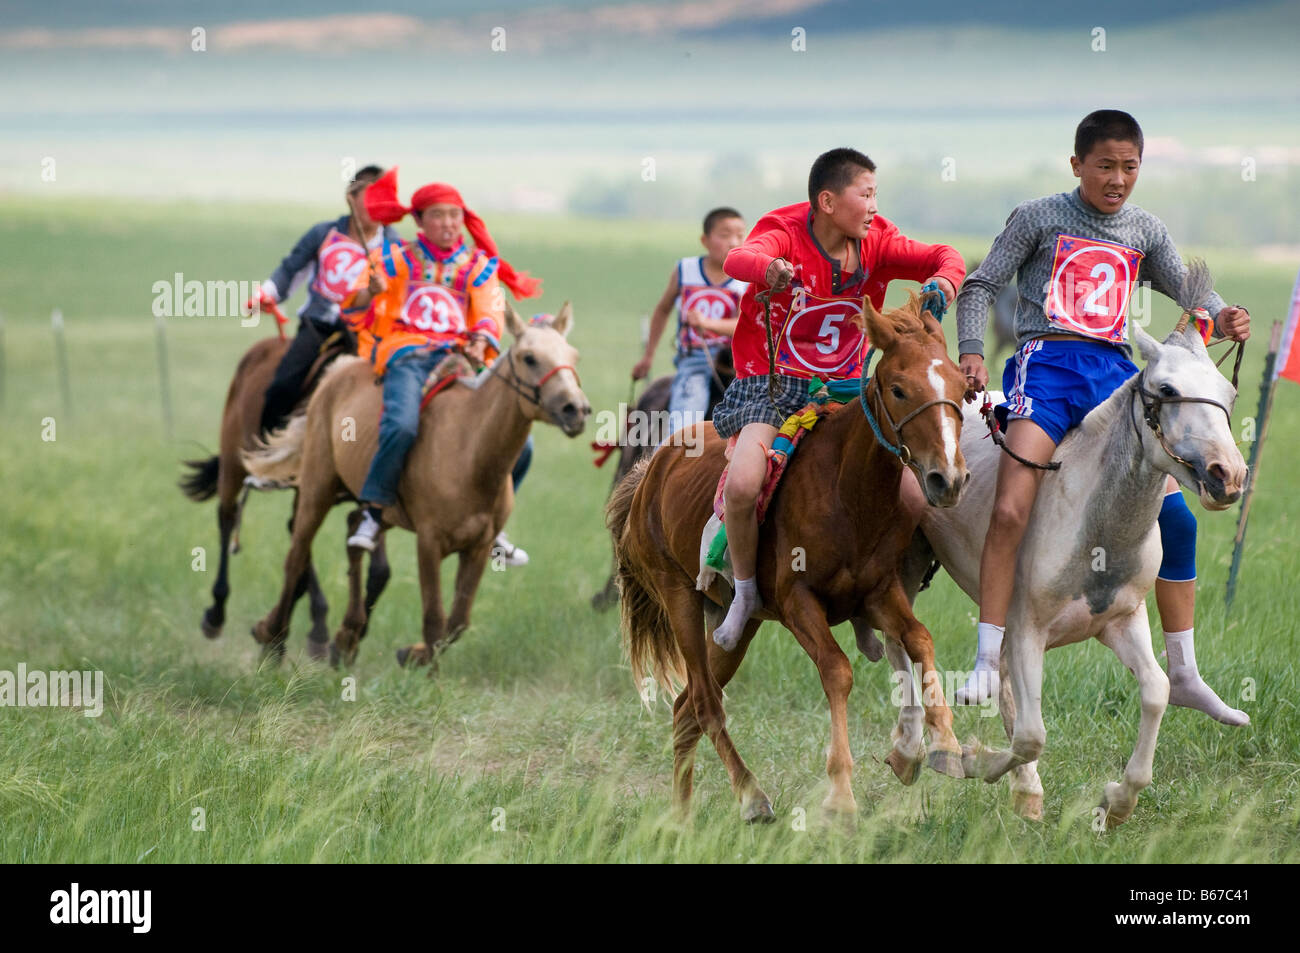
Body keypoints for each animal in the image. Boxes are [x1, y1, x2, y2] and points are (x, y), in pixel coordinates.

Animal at [178, 329, 390, 660]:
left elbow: (379, 571)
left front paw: (347, 641)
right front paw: (282, 641)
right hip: (234, 461)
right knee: (228, 518)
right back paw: (216, 614)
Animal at [241, 303, 591, 667]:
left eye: (573, 356)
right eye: (529, 357)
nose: (576, 409)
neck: (469, 448)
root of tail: (337, 371)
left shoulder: (479, 547)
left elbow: (457, 622)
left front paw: (412, 654)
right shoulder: (429, 542)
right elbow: (435, 619)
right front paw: (426, 671)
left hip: (377, 507)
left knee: (353, 536)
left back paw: (346, 637)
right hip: (316, 488)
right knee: (296, 555)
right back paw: (272, 636)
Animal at [607, 292, 971, 822]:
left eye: (964, 387)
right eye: (899, 389)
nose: (949, 478)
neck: (846, 490)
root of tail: (650, 470)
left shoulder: (878, 593)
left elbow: (920, 640)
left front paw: (944, 745)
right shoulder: (798, 601)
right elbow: (837, 672)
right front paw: (840, 795)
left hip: (734, 627)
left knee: (685, 708)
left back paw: (682, 816)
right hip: (679, 600)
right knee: (705, 704)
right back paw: (751, 796)